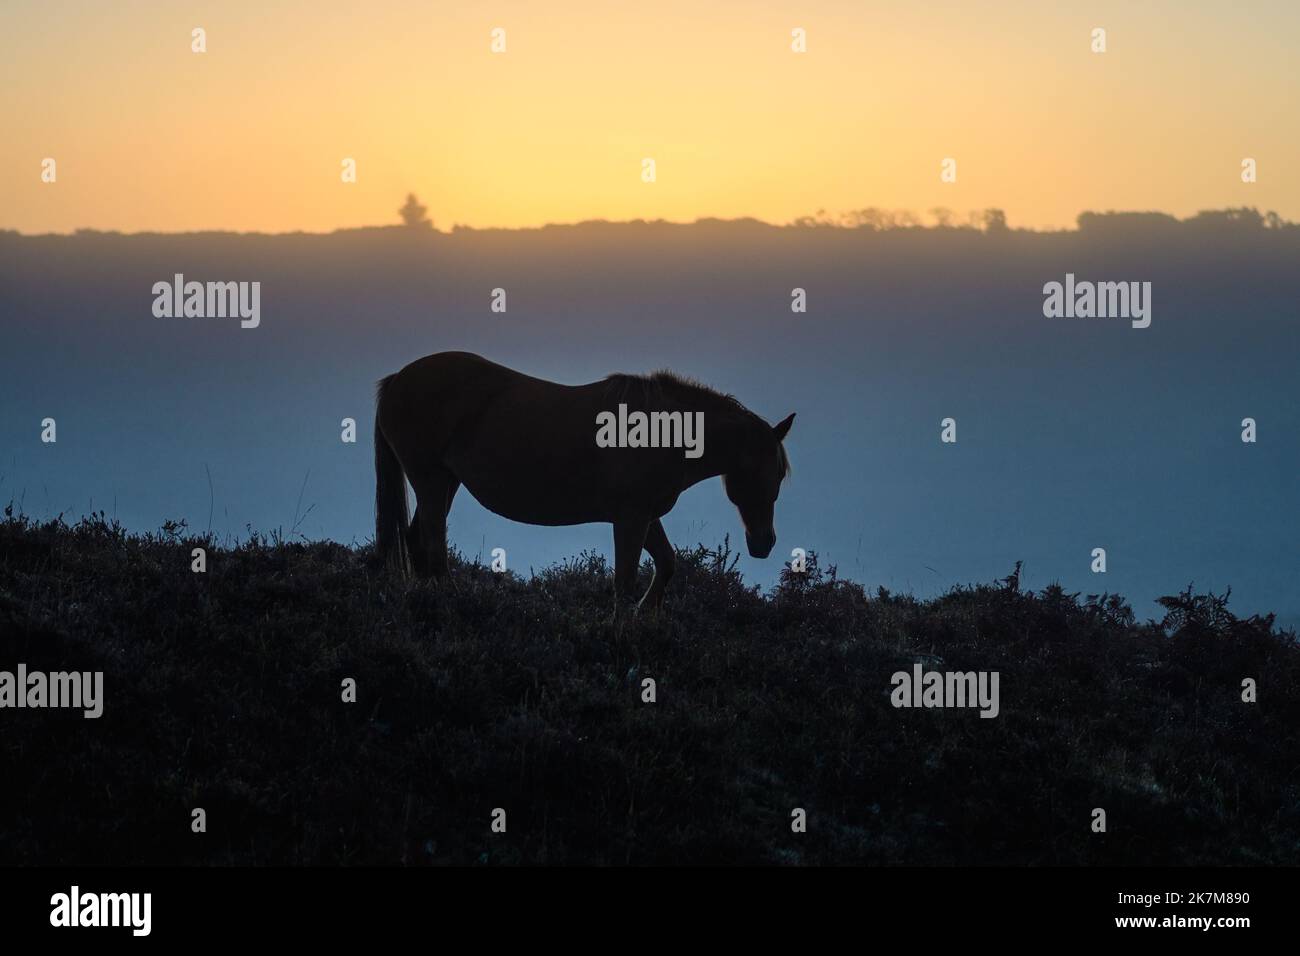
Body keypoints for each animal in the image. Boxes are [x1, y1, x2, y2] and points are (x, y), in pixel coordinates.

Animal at [374, 351, 794, 610]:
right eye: (768, 473)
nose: (764, 543)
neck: (661, 433)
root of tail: (400, 378)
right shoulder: (630, 518)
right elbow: (624, 581)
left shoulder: (645, 516)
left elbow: (667, 563)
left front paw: (647, 616)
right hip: (430, 479)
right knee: (432, 538)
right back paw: (451, 598)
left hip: (445, 481)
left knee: (416, 538)